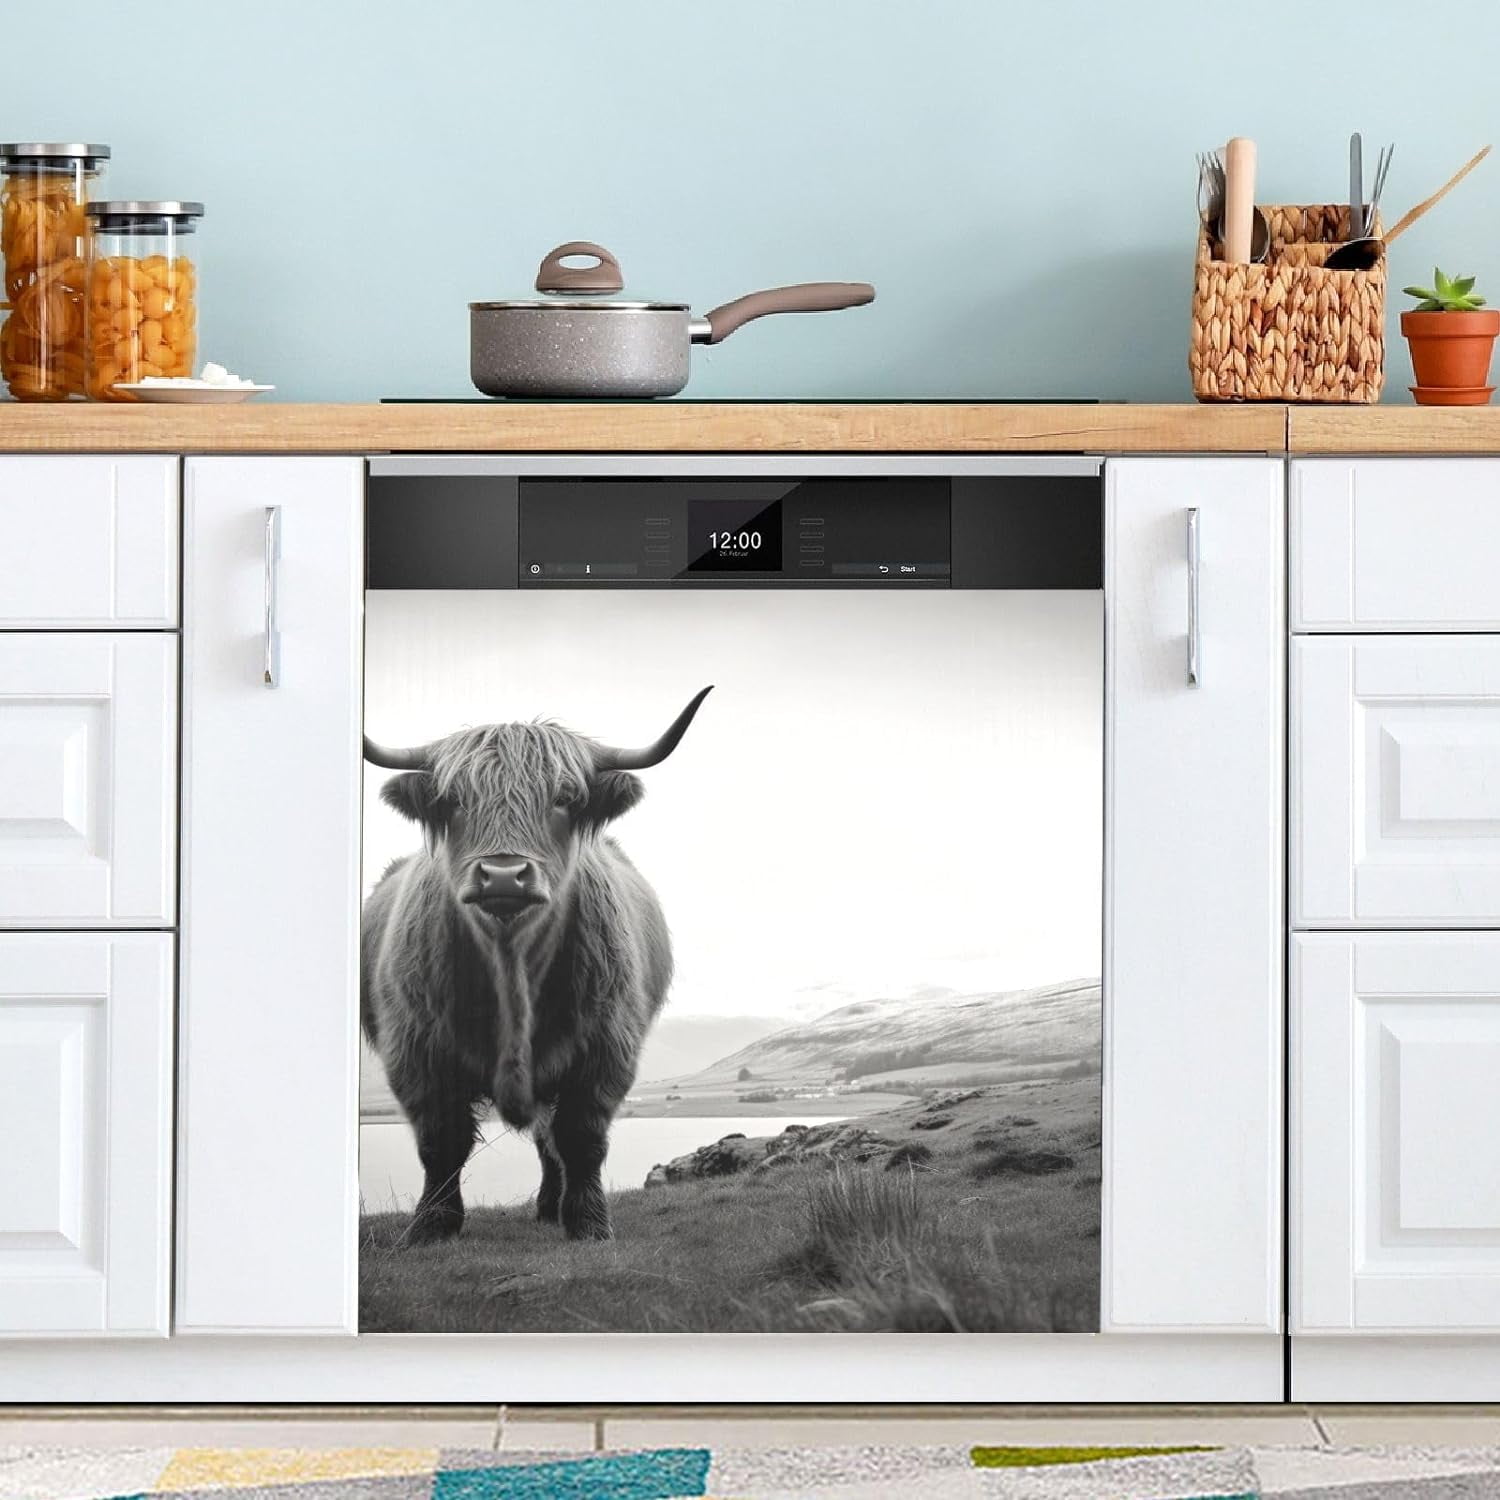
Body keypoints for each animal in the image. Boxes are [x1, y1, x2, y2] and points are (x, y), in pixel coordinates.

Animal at [361, 687, 711, 1244]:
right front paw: (431, 1226)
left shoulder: (604, 1048)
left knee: (550, 1138)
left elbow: (580, 1137)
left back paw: (552, 1206)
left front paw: (589, 1224)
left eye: (564, 798)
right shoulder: (417, 1051)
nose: (504, 875)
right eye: (454, 800)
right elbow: (441, 1143)